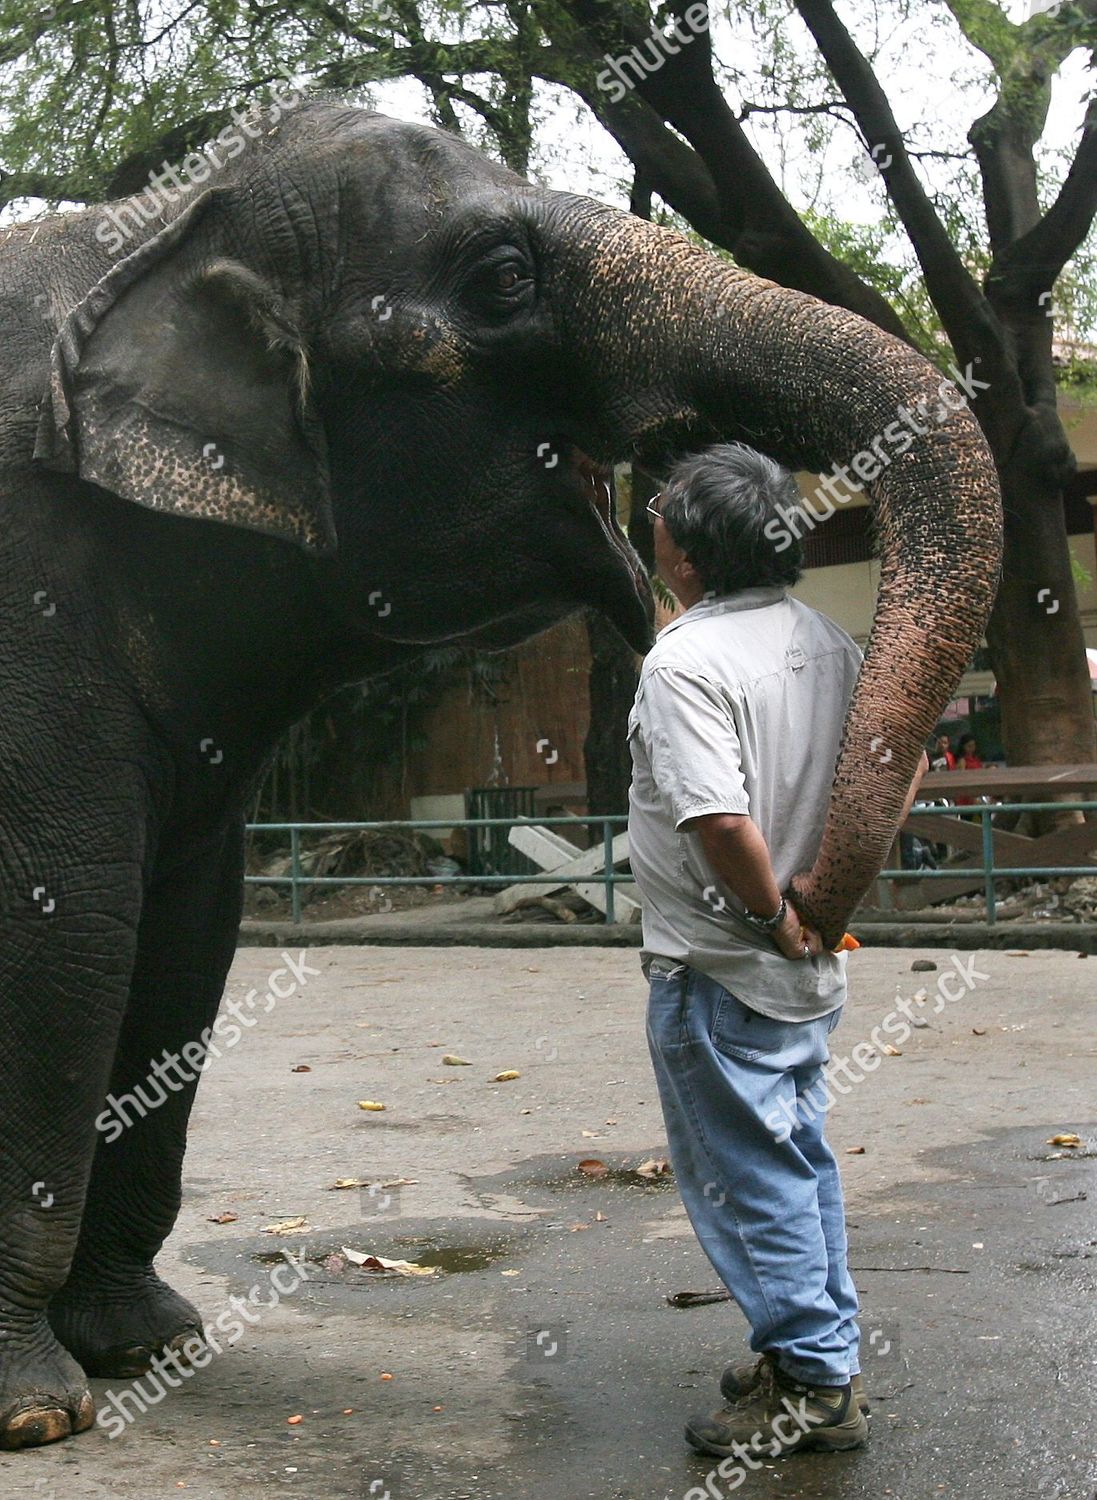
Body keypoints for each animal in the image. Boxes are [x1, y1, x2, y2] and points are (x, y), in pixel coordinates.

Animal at [0, 98, 1001, 1448]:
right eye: (503, 280)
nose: (801, 922)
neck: (150, 224)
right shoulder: (32, 608)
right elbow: (67, 933)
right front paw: (33, 1413)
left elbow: (179, 942)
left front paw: (148, 1345)